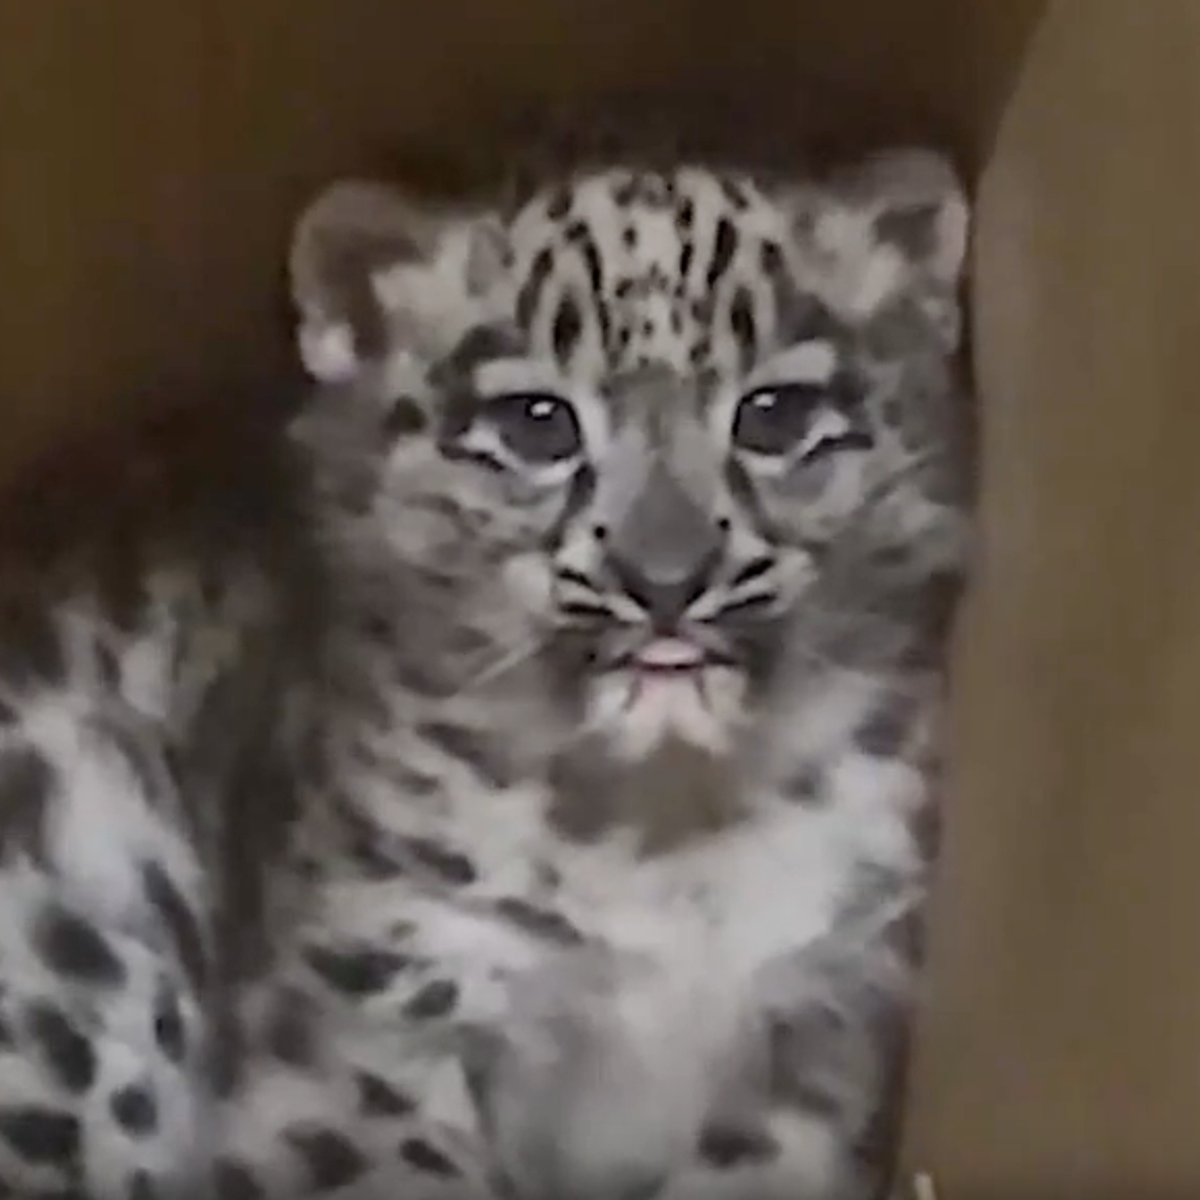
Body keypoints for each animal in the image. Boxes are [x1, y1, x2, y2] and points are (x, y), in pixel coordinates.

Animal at [0, 143, 970, 1200]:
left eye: (777, 415)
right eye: (537, 423)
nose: (665, 580)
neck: (666, 825)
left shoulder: (826, 1013)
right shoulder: (370, 1018)